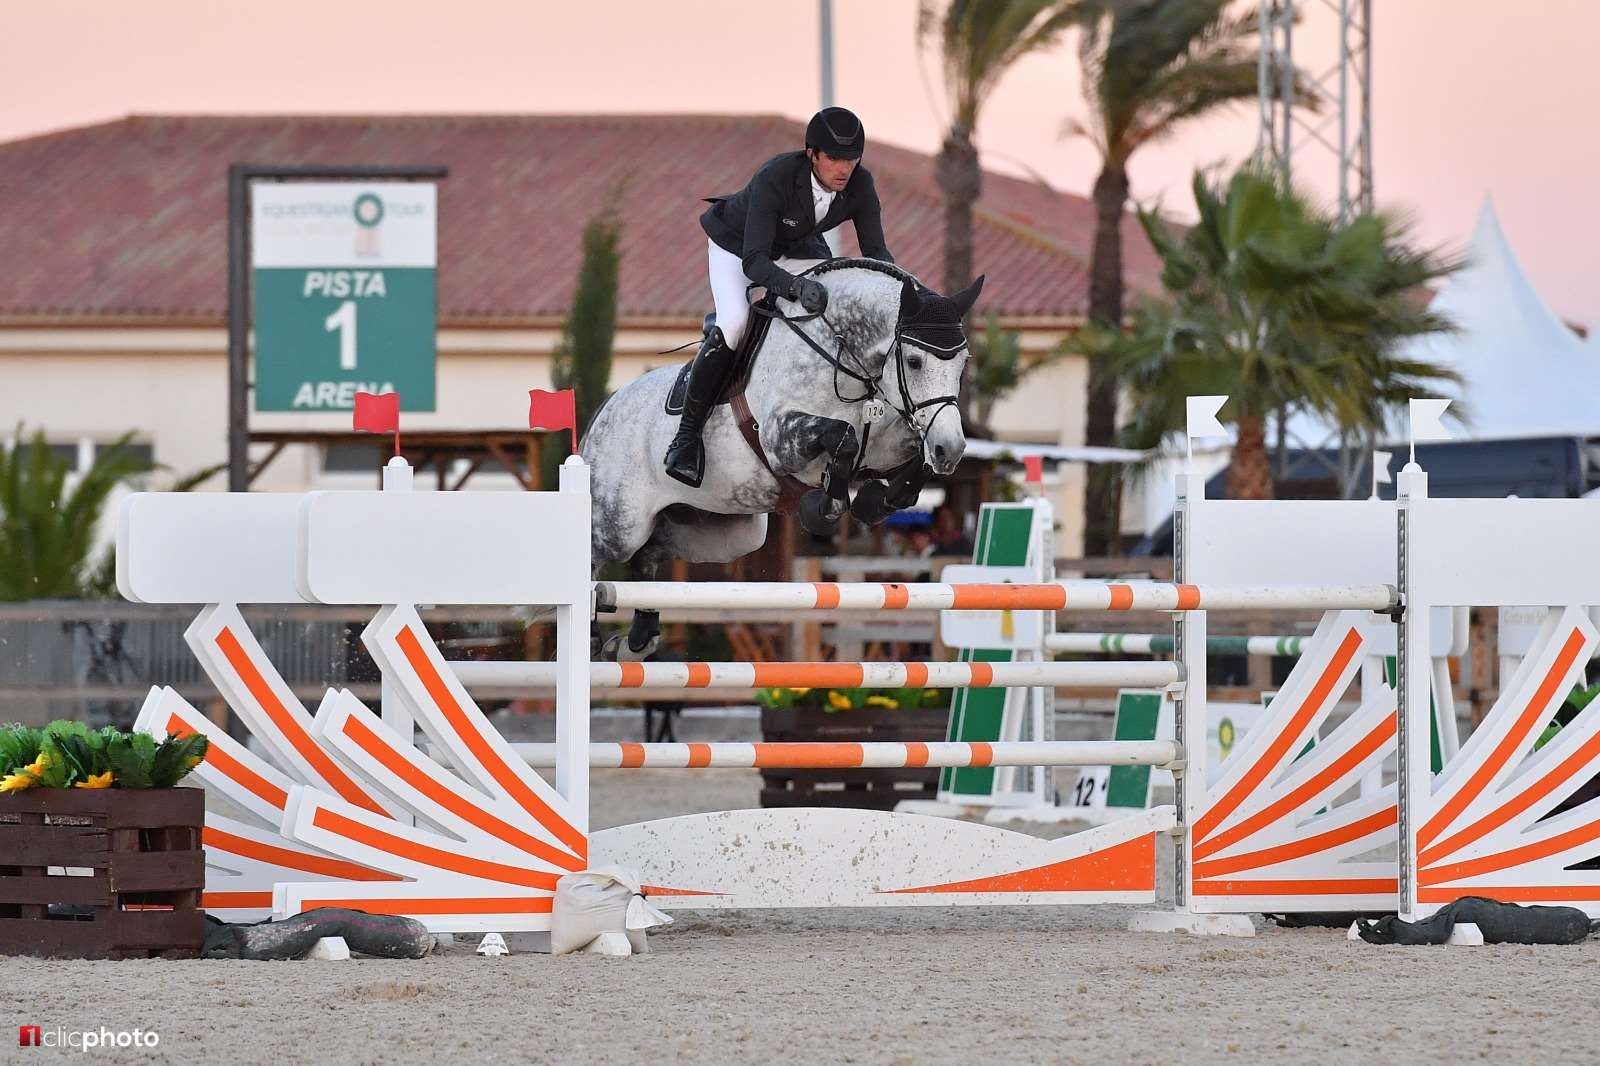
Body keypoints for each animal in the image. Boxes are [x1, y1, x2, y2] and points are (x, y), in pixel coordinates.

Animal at [582, 258, 983, 658]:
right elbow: (844, 437)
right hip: (620, 524)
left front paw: (874, 500)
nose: (950, 450)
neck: (843, 359)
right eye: (914, 361)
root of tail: (604, 411)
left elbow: (912, 454)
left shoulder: (892, 439)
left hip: (720, 532)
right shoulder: (780, 438)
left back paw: (634, 641)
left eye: (963, 362)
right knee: (596, 557)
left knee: (649, 555)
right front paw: (823, 508)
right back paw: (595, 638)